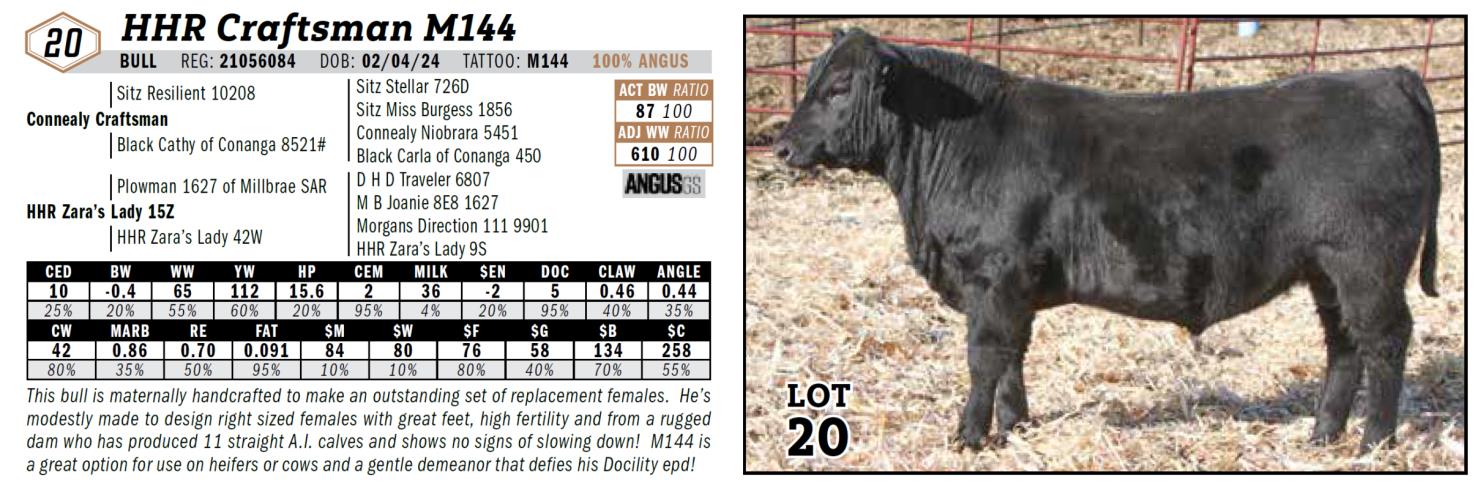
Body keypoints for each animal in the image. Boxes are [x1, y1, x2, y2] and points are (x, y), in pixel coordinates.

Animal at [772, 28, 1441, 452]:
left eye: (838, 89)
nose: (781, 145)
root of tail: (1387, 76)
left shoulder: (994, 275)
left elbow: (985, 355)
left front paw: (968, 436)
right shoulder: (1013, 287)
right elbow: (1013, 355)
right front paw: (1016, 428)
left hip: (1367, 265)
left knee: (1384, 341)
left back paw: (1374, 442)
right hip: (1327, 270)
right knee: (1343, 345)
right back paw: (1323, 436)